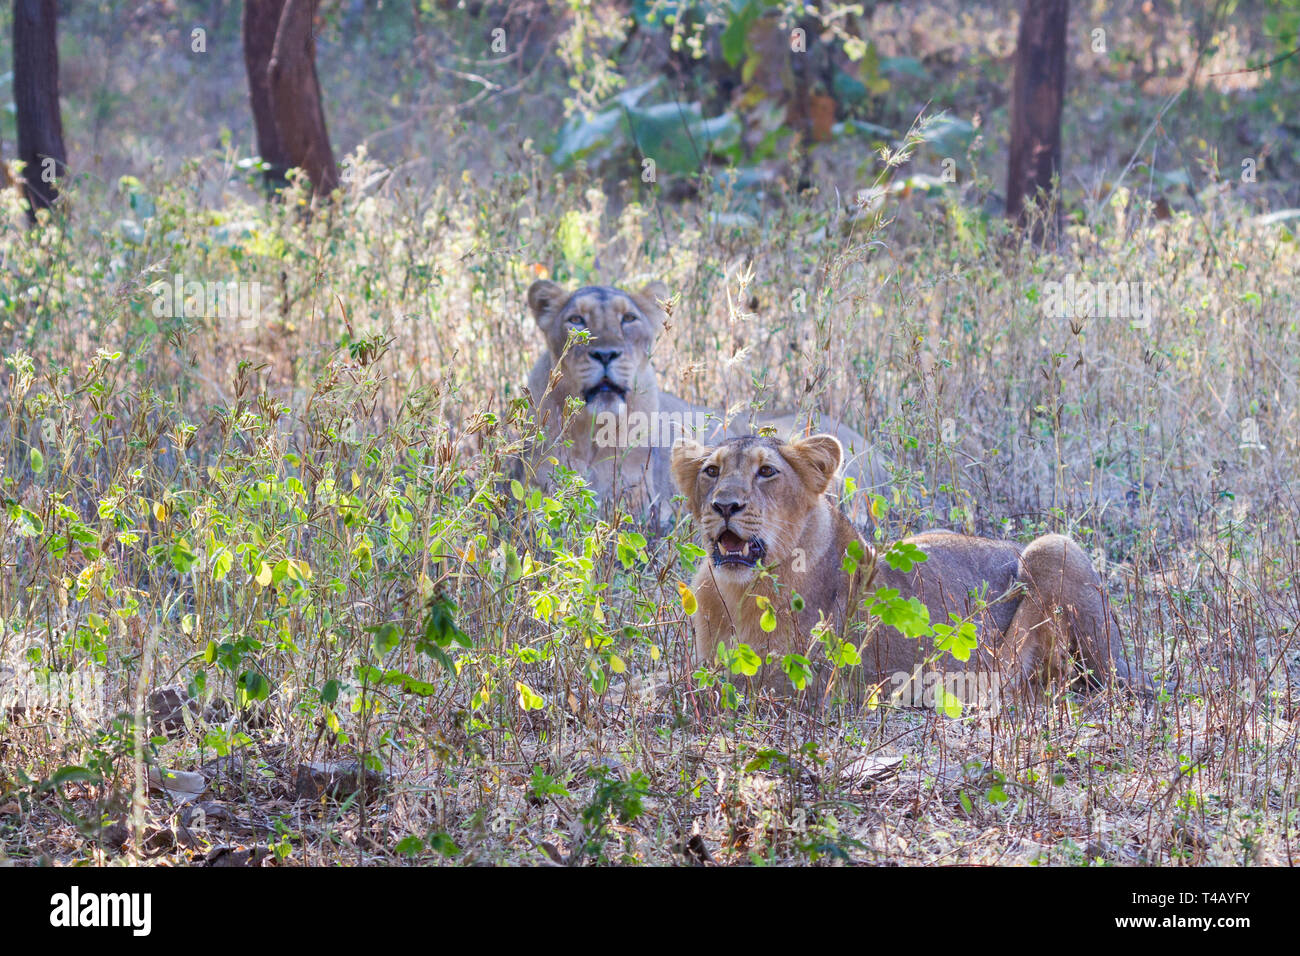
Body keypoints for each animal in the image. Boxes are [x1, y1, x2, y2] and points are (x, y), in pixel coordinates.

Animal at [670, 433, 1151, 705]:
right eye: (711, 471)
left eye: (767, 471)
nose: (725, 505)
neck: (735, 591)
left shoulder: (804, 680)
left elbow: (705, 687)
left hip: (1054, 548)